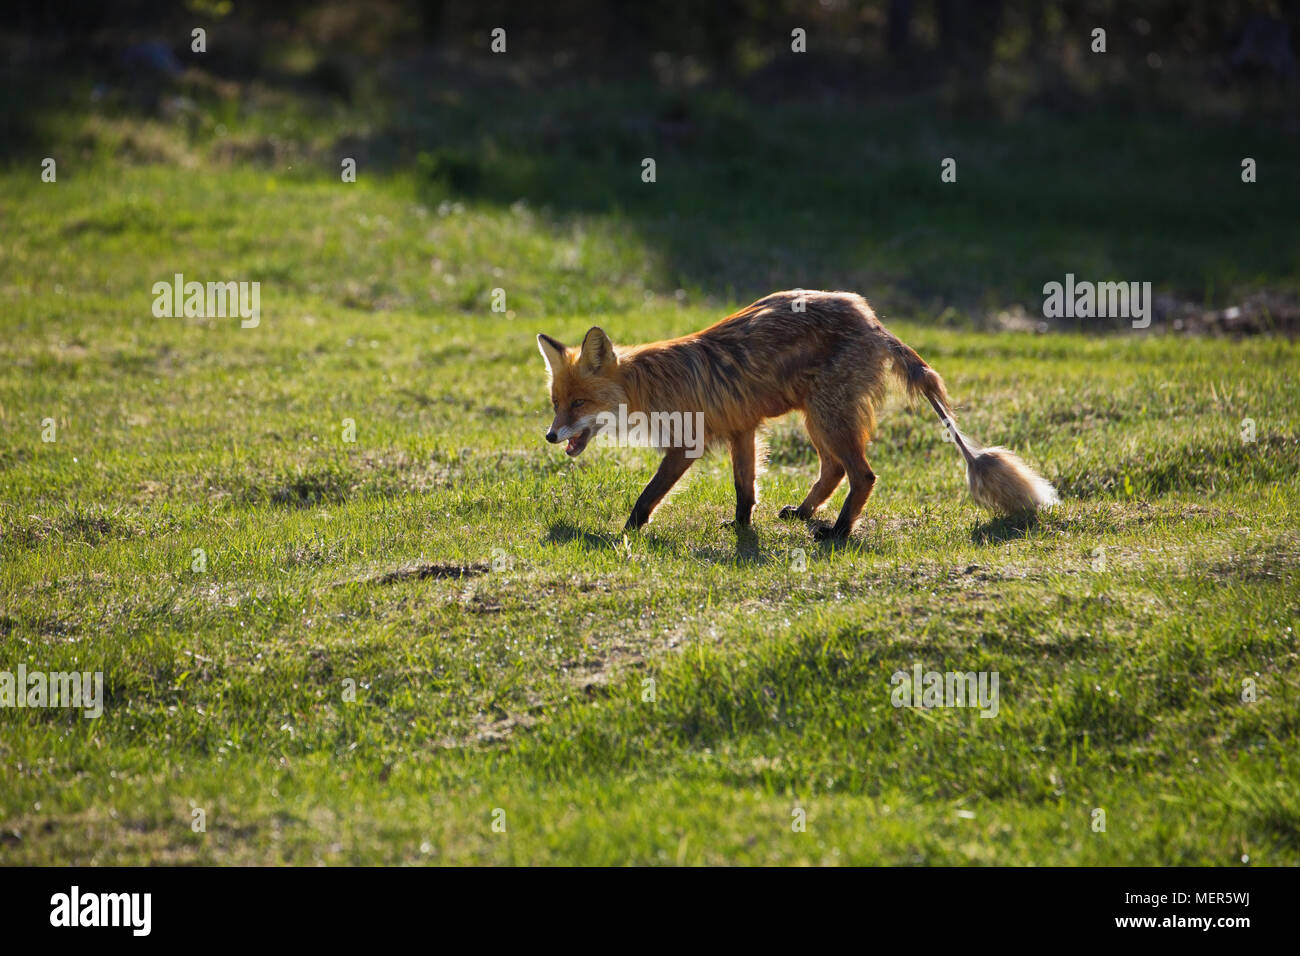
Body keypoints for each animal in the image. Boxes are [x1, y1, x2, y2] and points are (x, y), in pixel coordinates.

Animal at [537, 290, 1058, 540]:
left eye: (578, 404)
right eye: (556, 402)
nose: (550, 436)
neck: (653, 382)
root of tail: (873, 320)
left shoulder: (687, 443)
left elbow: (648, 495)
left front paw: (626, 532)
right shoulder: (743, 429)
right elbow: (745, 490)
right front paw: (742, 528)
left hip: (827, 416)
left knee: (862, 475)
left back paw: (839, 532)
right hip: (817, 418)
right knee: (834, 470)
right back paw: (806, 513)